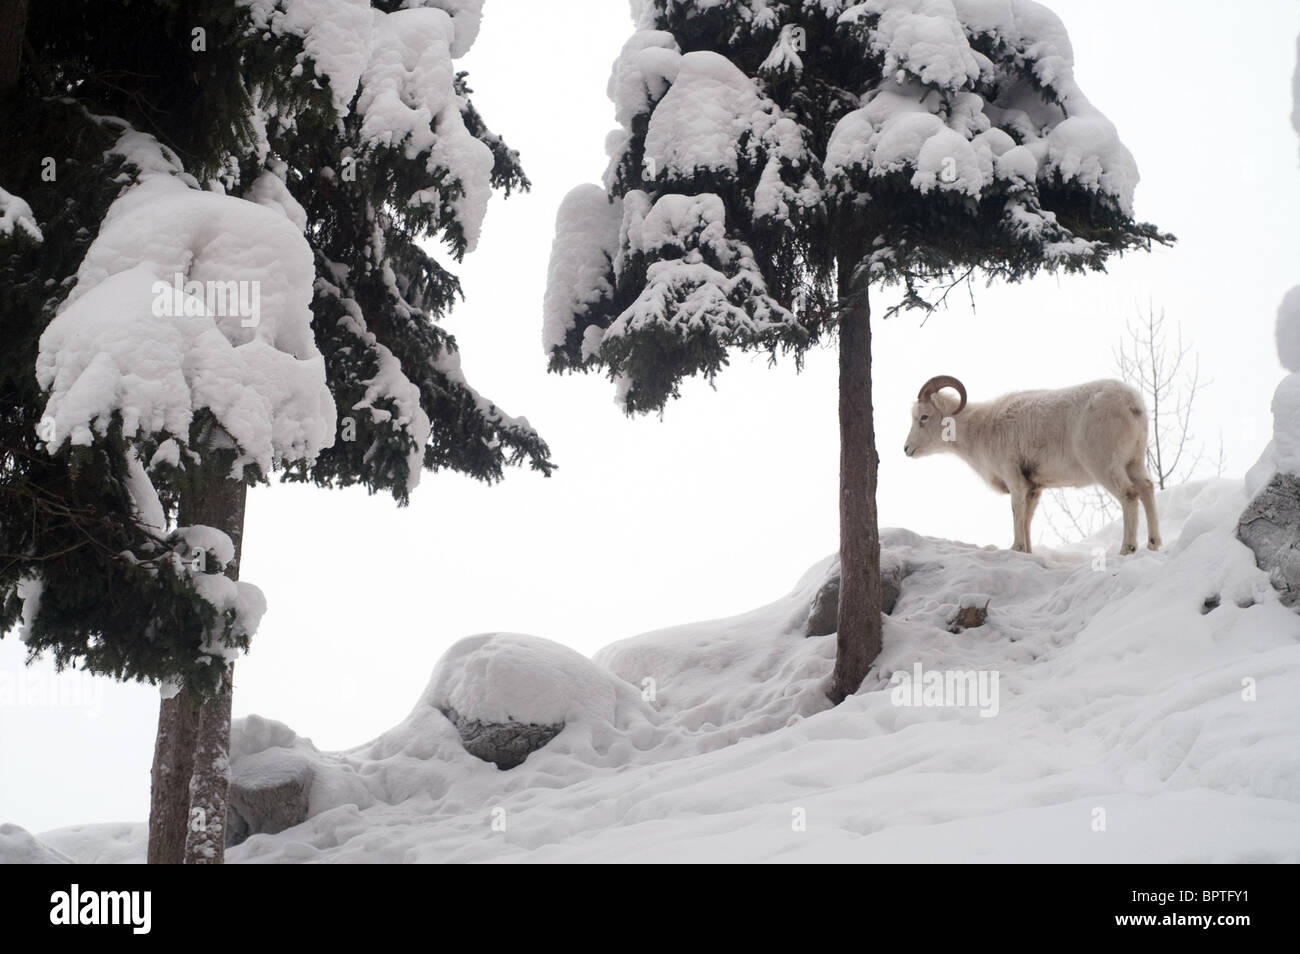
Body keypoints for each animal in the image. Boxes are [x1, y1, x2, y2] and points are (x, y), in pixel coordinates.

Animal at [903, 375, 1161, 555]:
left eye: (923, 417)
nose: (906, 449)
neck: (981, 429)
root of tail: (1131, 404)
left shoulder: (1015, 480)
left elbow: (1017, 513)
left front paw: (1016, 548)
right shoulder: (1034, 487)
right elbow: (1027, 519)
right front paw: (1026, 551)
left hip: (1104, 466)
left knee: (1129, 494)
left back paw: (1127, 549)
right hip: (1134, 463)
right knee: (1147, 489)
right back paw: (1153, 544)